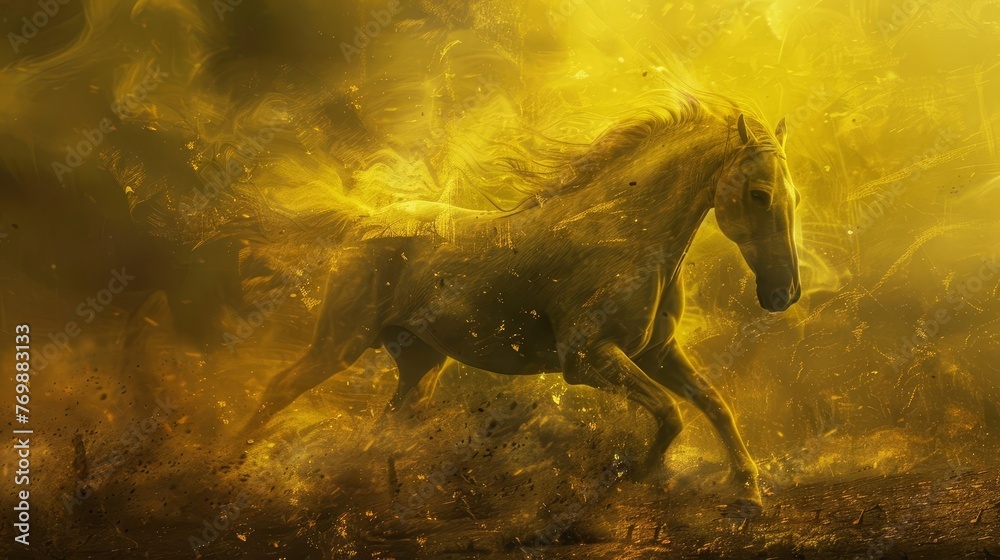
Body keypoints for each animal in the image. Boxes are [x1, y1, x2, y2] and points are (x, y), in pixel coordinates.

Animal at [238, 102, 802, 516]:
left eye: (795, 197)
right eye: (759, 194)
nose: (785, 293)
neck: (625, 231)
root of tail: (364, 222)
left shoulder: (656, 352)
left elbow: (714, 404)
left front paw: (749, 495)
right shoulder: (587, 356)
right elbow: (670, 412)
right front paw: (639, 475)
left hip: (421, 366)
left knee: (384, 428)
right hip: (341, 342)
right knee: (277, 390)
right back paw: (230, 473)